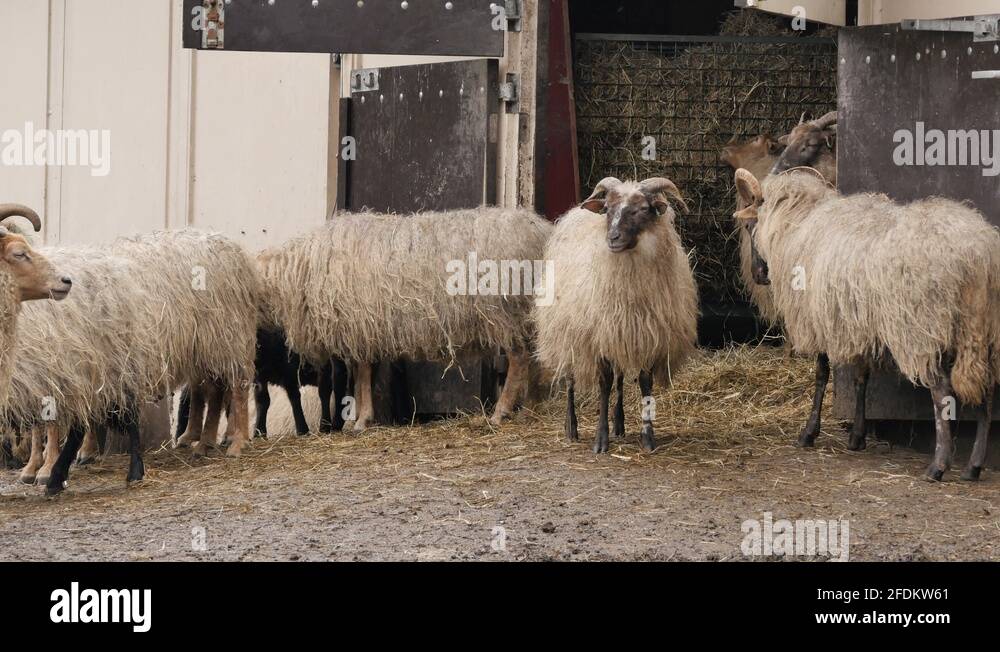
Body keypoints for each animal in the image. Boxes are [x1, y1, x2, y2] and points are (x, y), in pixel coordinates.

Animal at [261, 207, 553, 430]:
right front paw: (363, 417)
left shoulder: (361, 325)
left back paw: (501, 412)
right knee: (534, 358)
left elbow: (362, 375)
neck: (302, 271)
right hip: (526, 315)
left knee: (519, 360)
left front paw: (361, 420)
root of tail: (542, 232)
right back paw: (531, 407)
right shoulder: (367, 329)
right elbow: (366, 375)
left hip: (507, 312)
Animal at [534, 177, 699, 453]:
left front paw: (647, 438)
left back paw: (619, 424)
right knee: (570, 378)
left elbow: (644, 383)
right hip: (567, 331)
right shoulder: (599, 336)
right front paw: (601, 440)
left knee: (621, 377)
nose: (613, 238)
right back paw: (571, 427)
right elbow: (605, 384)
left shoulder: (644, 336)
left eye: (642, 209)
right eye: (608, 209)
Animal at [735, 168, 1000, 481]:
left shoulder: (818, 318)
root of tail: (977, 257)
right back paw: (973, 466)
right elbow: (861, 378)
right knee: (986, 392)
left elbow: (822, 374)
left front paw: (809, 433)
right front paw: (857, 437)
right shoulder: (855, 324)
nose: (759, 274)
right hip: (981, 331)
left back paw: (938, 465)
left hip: (922, 330)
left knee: (942, 392)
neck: (797, 222)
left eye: (750, 225)